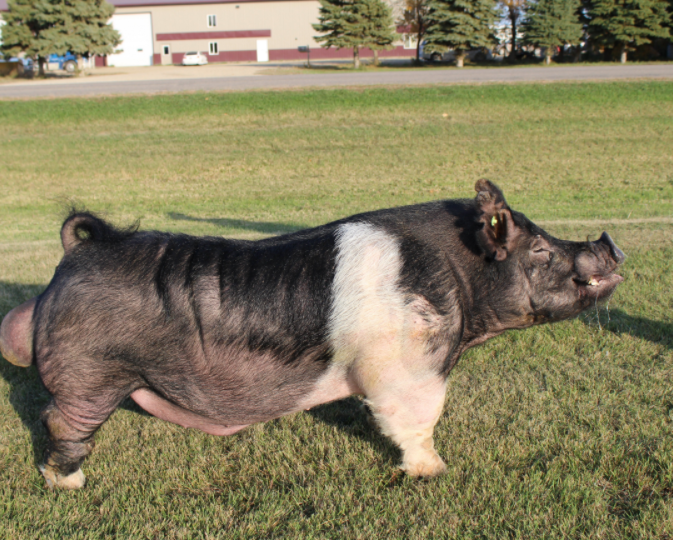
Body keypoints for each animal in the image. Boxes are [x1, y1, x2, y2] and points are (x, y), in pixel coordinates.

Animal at [0, 180, 625, 489]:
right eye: (540, 250)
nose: (610, 243)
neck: (464, 288)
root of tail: (78, 253)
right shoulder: (409, 366)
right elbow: (416, 419)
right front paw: (436, 472)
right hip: (92, 374)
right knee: (60, 422)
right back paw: (68, 483)